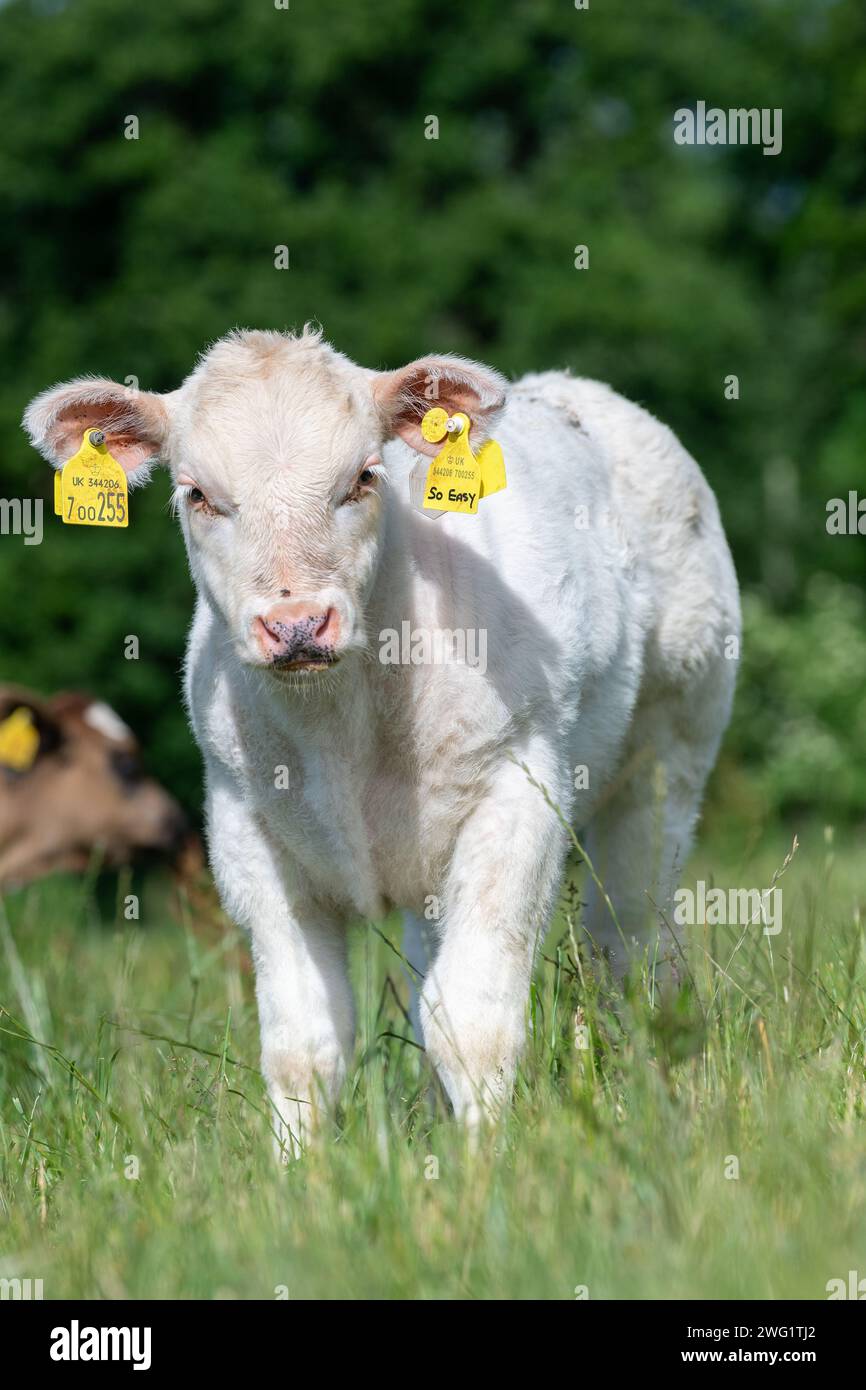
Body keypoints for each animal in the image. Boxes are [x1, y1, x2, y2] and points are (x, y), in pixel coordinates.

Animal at [24, 326, 741, 1154]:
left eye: (363, 477)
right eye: (198, 494)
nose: (297, 625)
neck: (344, 725)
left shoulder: (517, 797)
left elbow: (473, 1019)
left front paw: (485, 1168)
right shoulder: (247, 833)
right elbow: (305, 1045)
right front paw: (300, 1173)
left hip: (669, 758)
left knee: (633, 947)